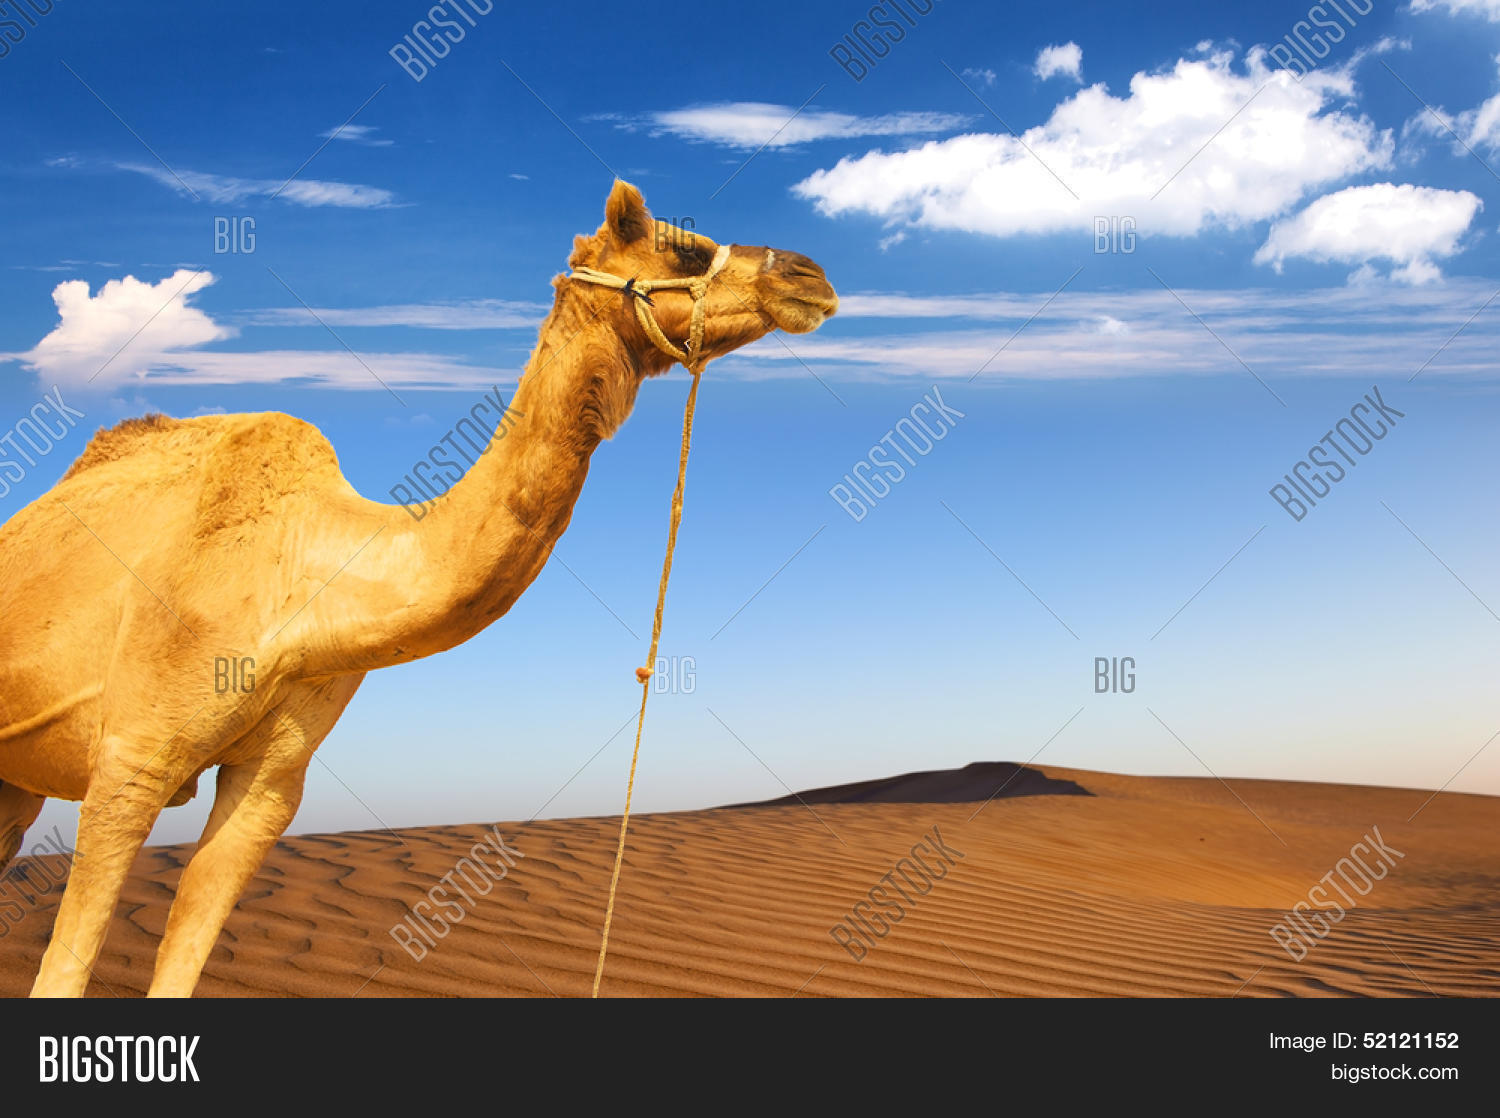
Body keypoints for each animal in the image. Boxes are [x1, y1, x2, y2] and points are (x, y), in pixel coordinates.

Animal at [0, 180, 838, 997]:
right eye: (685, 247)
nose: (812, 277)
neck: (307, 578)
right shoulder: (132, 761)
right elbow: (65, 969)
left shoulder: (272, 780)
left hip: (18, 783)